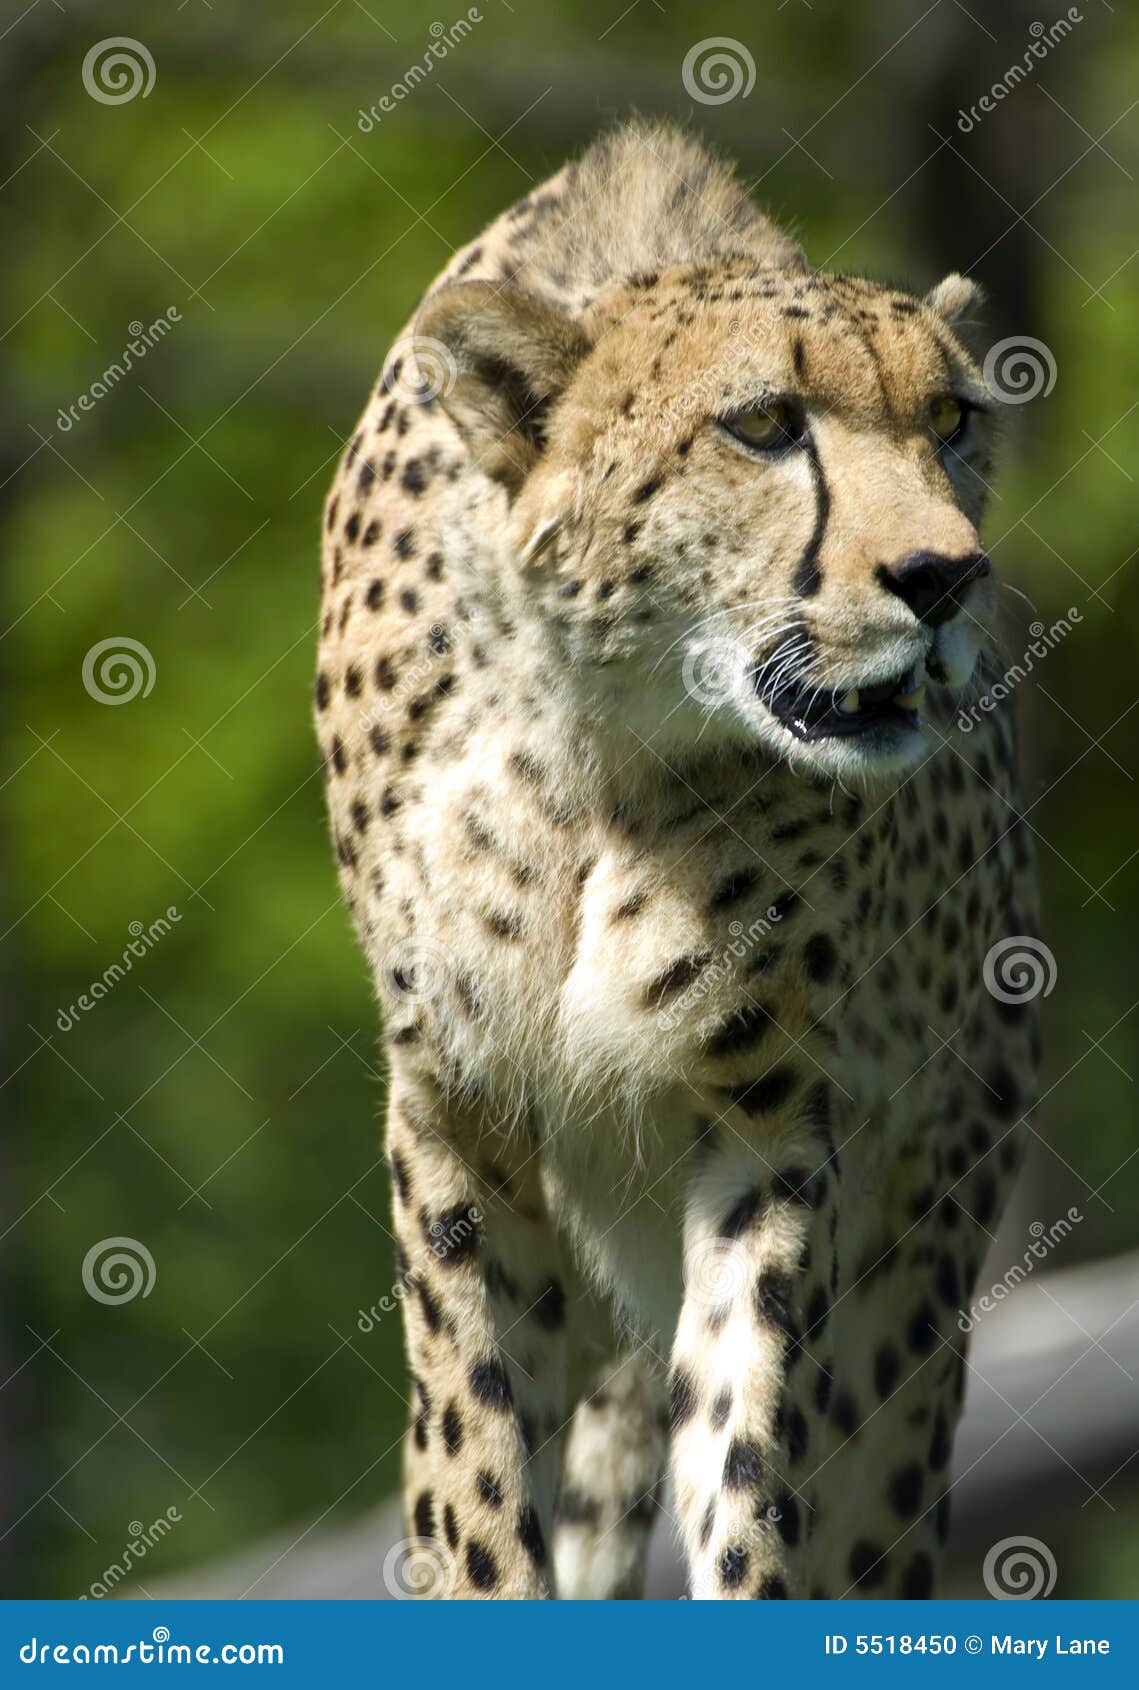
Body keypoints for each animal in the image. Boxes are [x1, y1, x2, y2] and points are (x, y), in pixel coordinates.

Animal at [315, 121, 1040, 1599]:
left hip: (917, 1264)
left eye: (947, 421)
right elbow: (474, 1468)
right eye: (761, 424)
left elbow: (746, 1453)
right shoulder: (452, 1106)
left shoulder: (769, 1117)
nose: (944, 577)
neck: (598, 743)